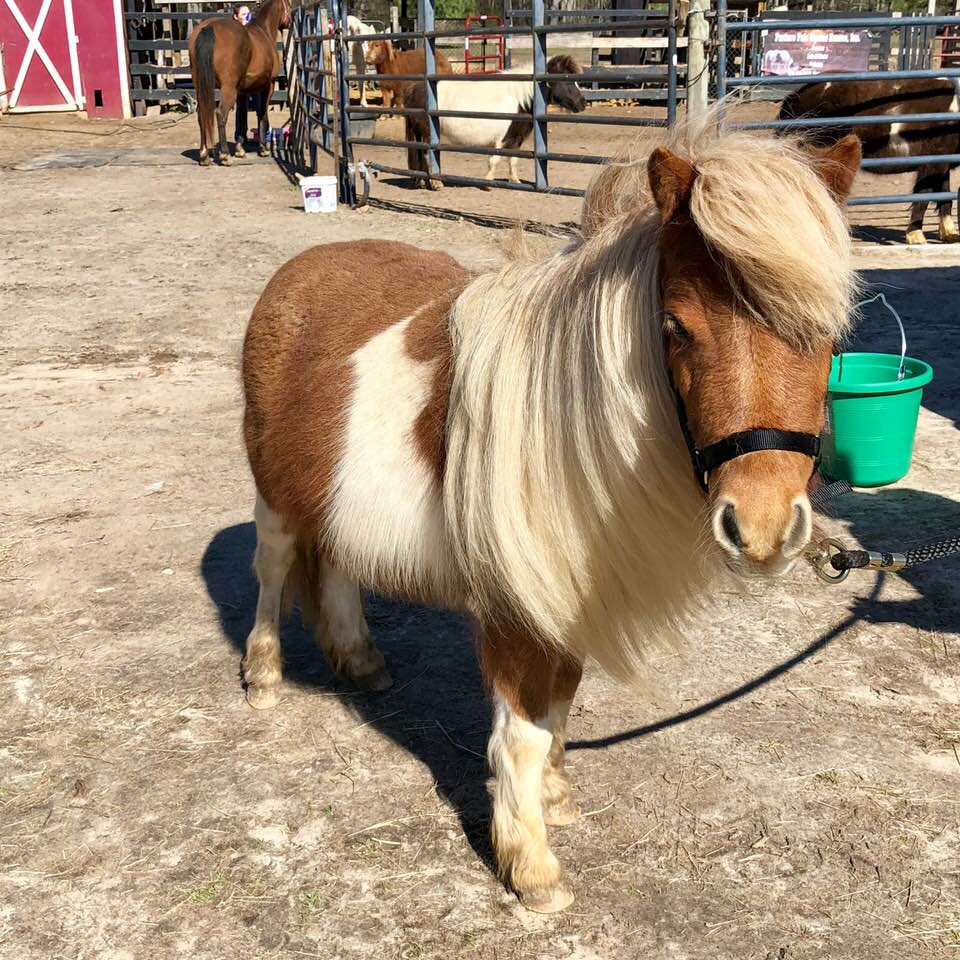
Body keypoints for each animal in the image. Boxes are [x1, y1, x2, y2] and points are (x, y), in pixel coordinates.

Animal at [188, 0, 291, 167]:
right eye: (289, 6)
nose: (290, 22)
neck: (264, 31)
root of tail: (208, 28)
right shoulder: (267, 86)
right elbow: (262, 113)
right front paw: (263, 148)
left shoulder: (242, 91)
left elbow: (242, 116)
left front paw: (240, 149)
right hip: (228, 89)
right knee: (220, 114)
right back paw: (224, 156)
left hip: (201, 87)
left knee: (202, 115)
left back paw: (204, 155)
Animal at [239, 125, 861, 911]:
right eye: (675, 326)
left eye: (831, 333)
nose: (762, 527)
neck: (560, 422)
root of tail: (297, 271)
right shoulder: (515, 613)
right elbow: (523, 732)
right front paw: (531, 866)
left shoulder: (565, 598)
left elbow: (562, 703)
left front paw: (554, 799)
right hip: (274, 498)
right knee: (272, 570)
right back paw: (263, 676)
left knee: (340, 568)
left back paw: (361, 660)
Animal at [403, 55, 587, 188]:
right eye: (566, 80)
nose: (583, 103)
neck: (519, 98)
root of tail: (413, 89)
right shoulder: (502, 139)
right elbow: (494, 160)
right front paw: (487, 183)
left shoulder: (516, 137)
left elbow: (513, 160)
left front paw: (515, 181)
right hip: (428, 134)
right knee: (428, 155)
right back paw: (436, 183)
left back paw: (422, 182)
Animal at [779, 78, 960, 244]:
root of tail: (795, 97)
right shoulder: (932, 163)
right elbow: (923, 197)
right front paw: (915, 235)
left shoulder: (942, 163)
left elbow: (945, 196)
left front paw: (949, 233)